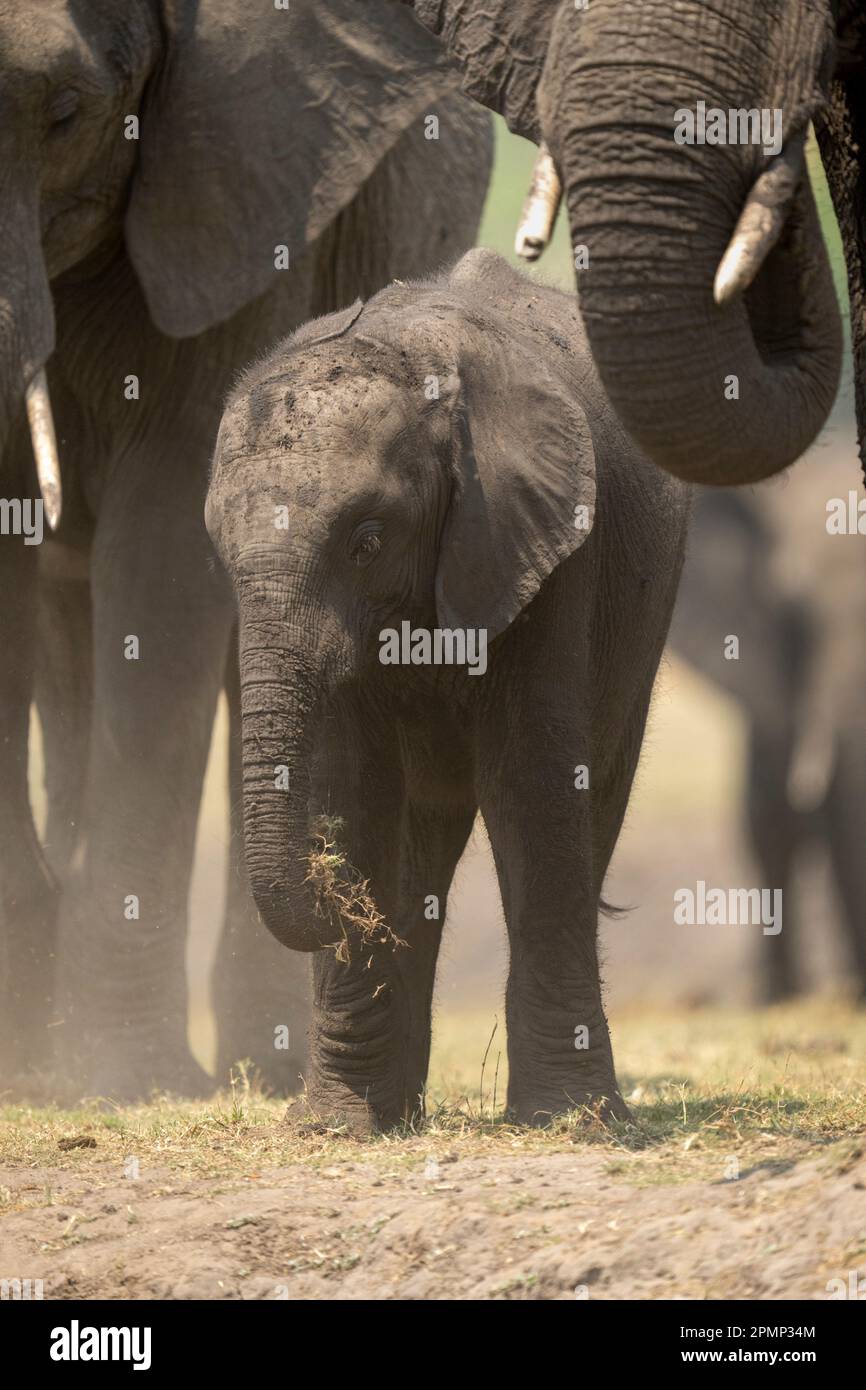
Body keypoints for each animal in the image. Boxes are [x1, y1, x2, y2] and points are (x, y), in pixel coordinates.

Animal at [205, 247, 690, 1132]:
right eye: (220, 553)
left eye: (367, 541)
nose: (329, 892)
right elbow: (356, 788)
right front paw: (340, 1127)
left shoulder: (539, 545)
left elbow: (532, 782)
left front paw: (566, 1122)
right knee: (422, 834)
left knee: (594, 796)